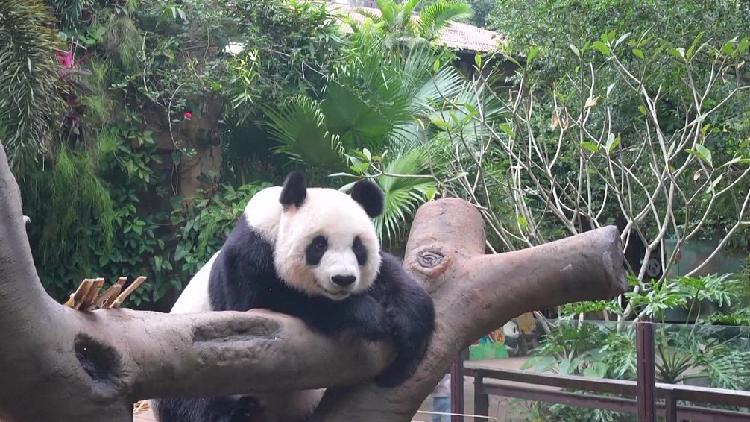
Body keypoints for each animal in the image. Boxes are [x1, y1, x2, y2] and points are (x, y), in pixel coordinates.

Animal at [152, 171, 436, 422]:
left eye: (358, 247)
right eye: (319, 245)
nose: (343, 279)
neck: (275, 222)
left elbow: (390, 278)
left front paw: (409, 327)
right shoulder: (248, 254)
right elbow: (262, 303)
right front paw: (369, 316)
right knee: (190, 402)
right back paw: (238, 412)